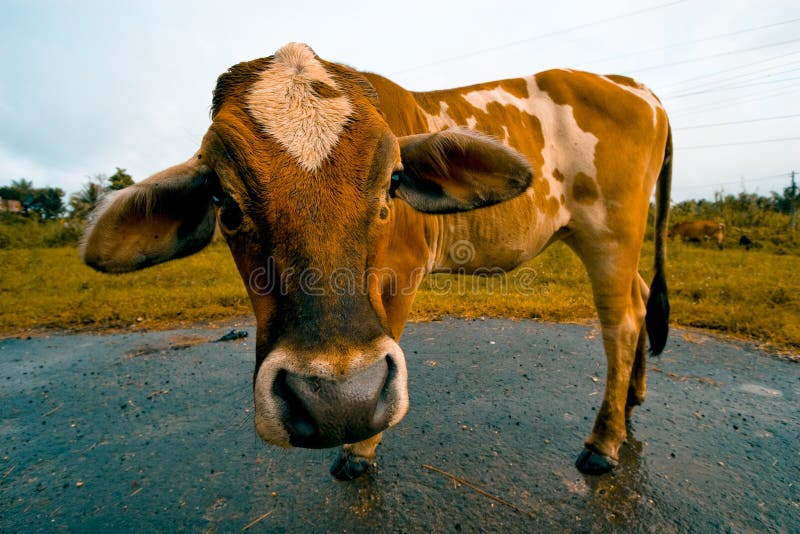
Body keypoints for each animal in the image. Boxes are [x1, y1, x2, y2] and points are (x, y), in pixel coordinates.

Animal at [81, 43, 672, 480]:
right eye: (225, 203)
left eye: (393, 183)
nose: (332, 401)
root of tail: (634, 87)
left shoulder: (402, 276)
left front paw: (360, 449)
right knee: (641, 302)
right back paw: (633, 400)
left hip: (612, 234)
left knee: (620, 324)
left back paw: (604, 442)